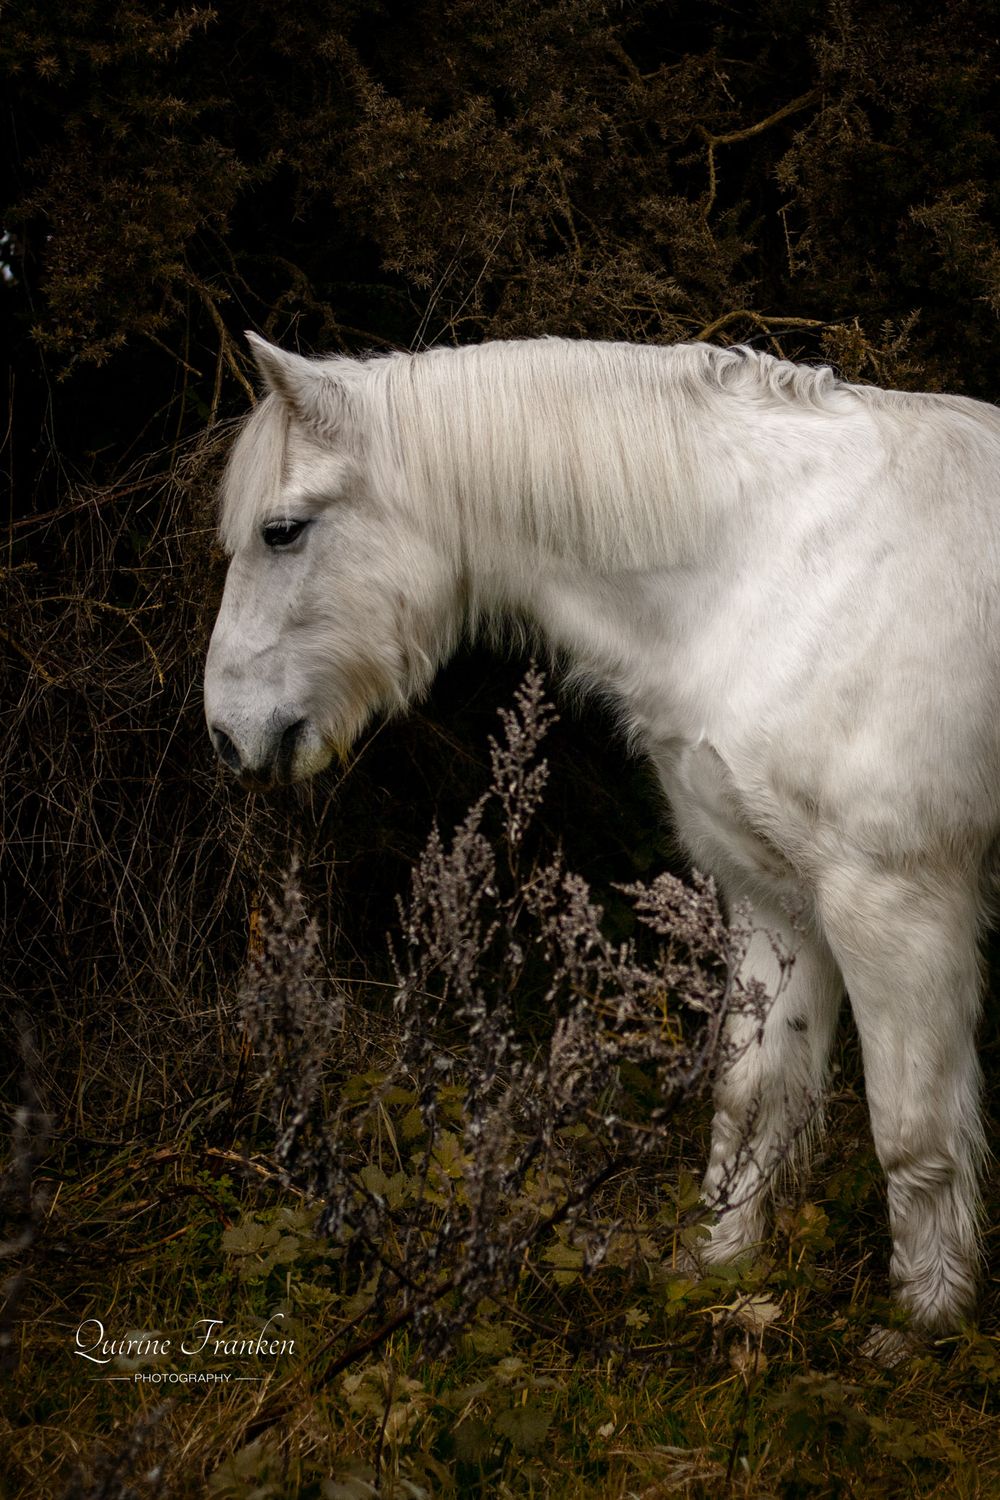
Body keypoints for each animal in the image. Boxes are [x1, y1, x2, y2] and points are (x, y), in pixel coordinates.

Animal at [205, 332, 1000, 1339]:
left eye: (282, 531)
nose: (227, 733)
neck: (774, 568)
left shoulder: (896, 905)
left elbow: (912, 1128)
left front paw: (924, 1328)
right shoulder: (775, 898)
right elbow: (752, 1095)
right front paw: (714, 1270)